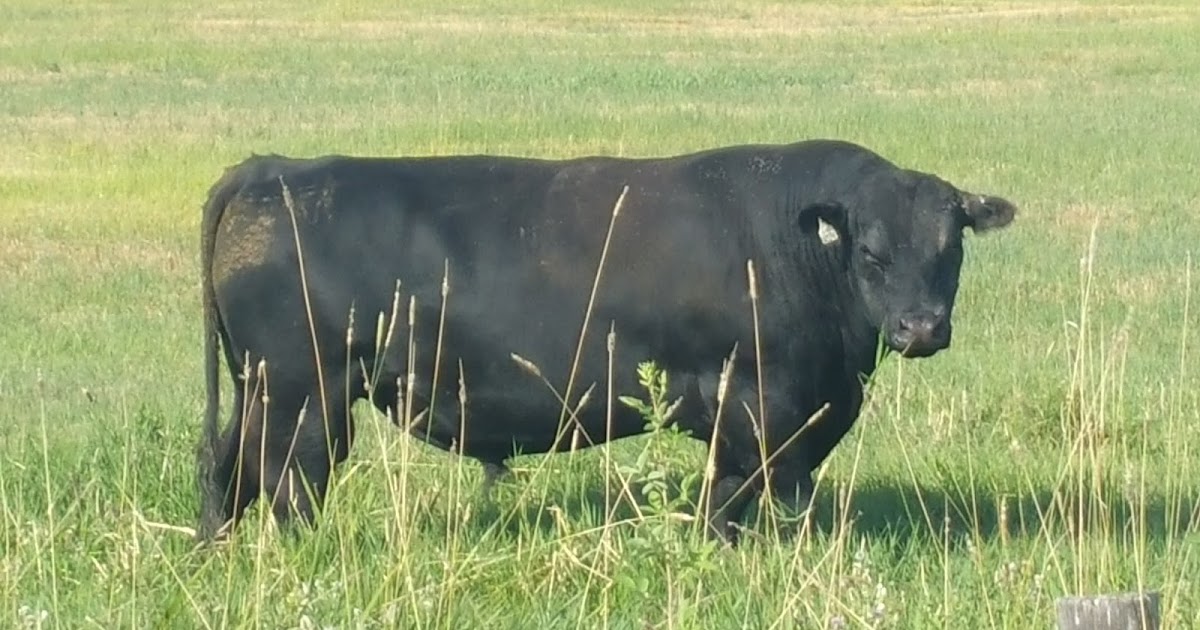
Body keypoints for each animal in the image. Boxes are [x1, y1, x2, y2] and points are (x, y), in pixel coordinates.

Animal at [194, 139, 1015, 543]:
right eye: (871, 253)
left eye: (951, 248)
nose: (921, 327)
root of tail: (271, 169)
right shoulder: (760, 404)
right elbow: (758, 492)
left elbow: (743, 495)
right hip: (305, 391)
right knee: (290, 480)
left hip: (262, 386)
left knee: (230, 470)